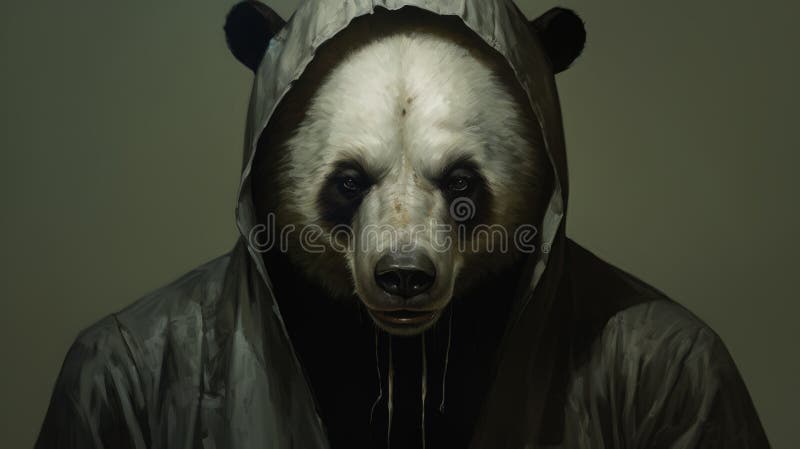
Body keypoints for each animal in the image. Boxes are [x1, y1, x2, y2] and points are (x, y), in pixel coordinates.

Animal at [35, 1, 770, 448]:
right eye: (349, 181)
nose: (405, 278)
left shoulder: (691, 369)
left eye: (462, 183)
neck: (402, 346)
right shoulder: (100, 376)